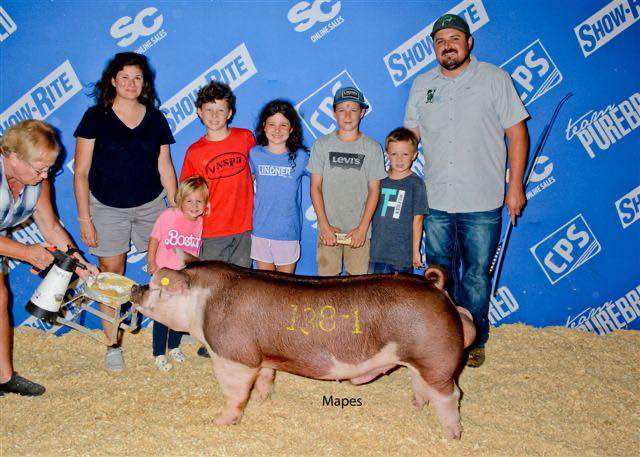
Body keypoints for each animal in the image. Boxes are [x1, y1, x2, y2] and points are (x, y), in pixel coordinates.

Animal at [130, 260, 476, 439]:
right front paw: (263, 400)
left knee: (451, 396)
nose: (135, 287)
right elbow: (266, 377)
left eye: (157, 285)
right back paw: (416, 406)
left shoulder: (234, 356)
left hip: (436, 358)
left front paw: (220, 423)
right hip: (419, 360)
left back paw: (451, 436)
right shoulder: (264, 356)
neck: (201, 303)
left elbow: (234, 394)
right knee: (421, 384)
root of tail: (436, 287)